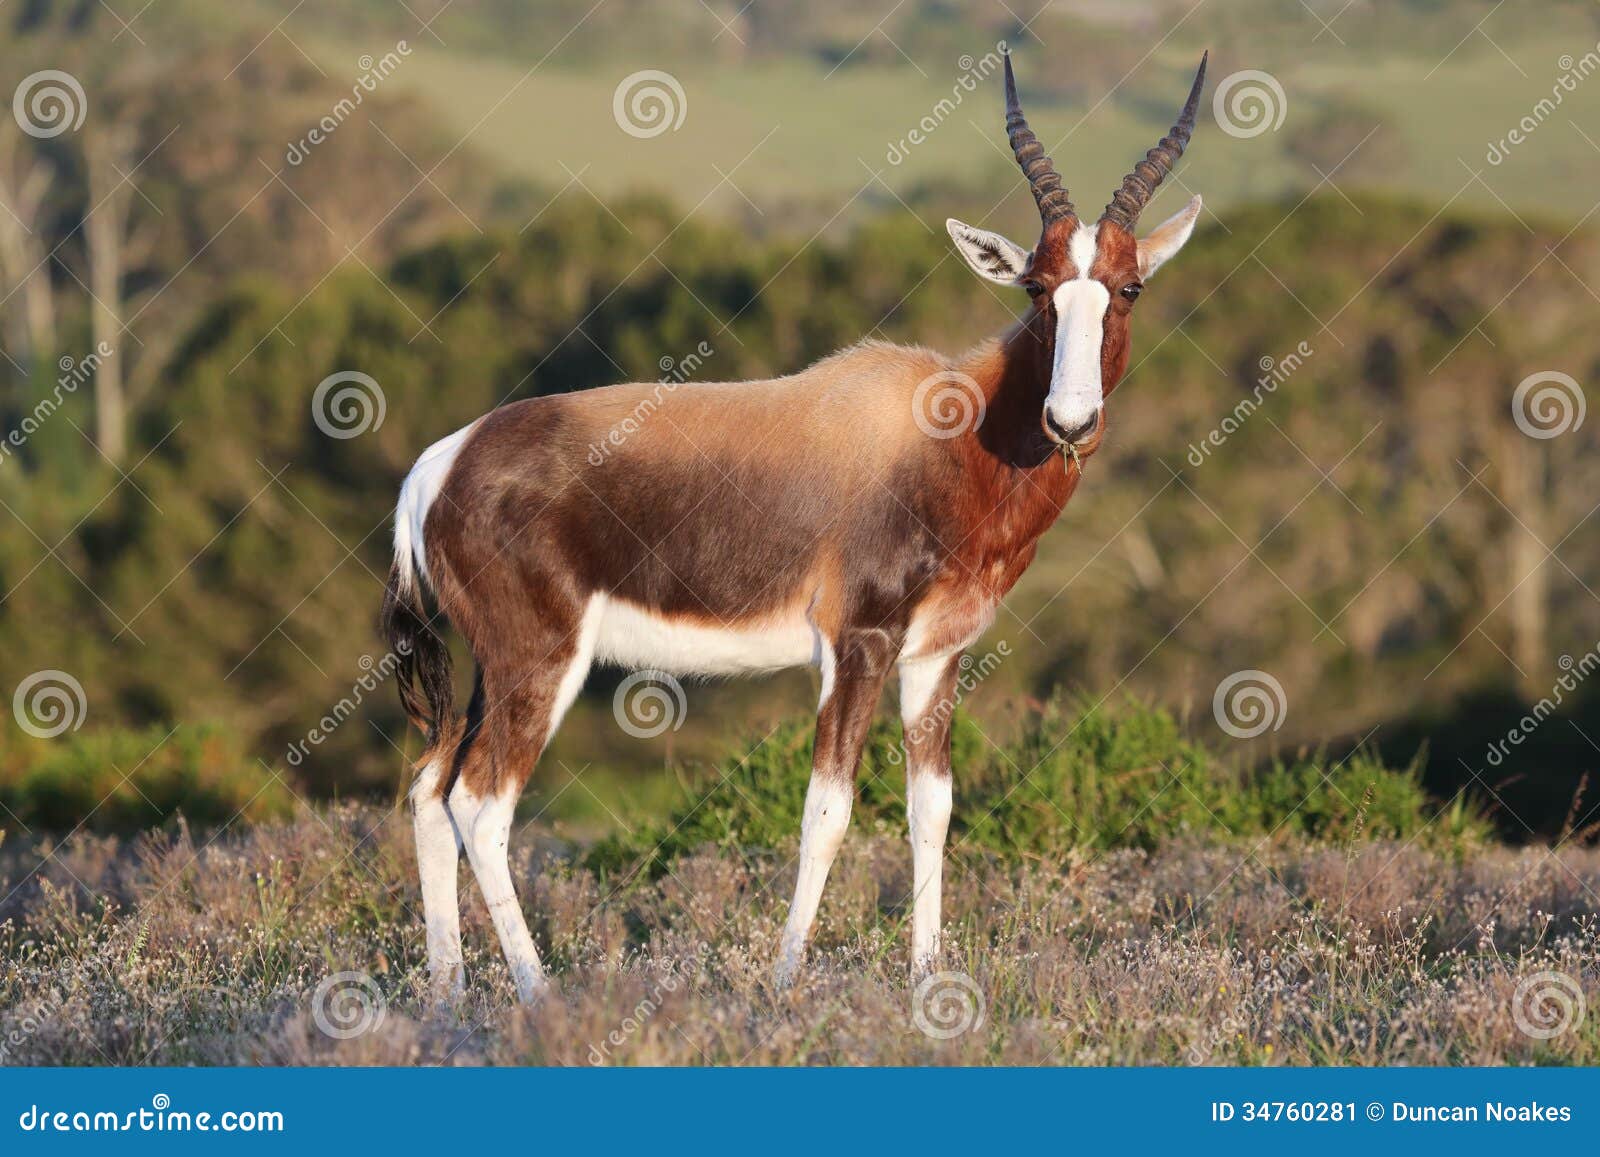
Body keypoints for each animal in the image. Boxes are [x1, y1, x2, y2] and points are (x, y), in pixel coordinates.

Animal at [383, 51, 1209, 1003]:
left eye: (1128, 286)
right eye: (1037, 287)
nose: (1070, 420)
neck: (945, 432)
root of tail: (441, 462)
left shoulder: (934, 657)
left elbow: (933, 807)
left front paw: (928, 981)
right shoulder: (858, 645)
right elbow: (828, 809)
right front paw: (784, 982)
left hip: (492, 666)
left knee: (429, 789)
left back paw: (448, 993)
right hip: (539, 661)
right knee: (480, 802)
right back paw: (538, 993)